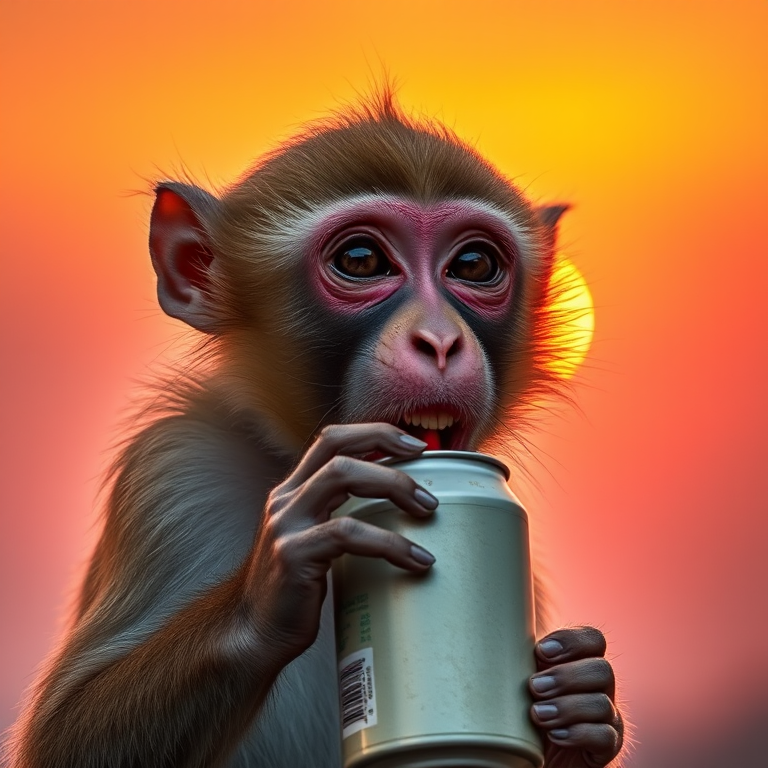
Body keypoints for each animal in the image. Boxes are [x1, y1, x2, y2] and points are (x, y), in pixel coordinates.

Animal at [6, 91, 624, 768]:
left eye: (473, 264)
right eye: (361, 260)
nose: (439, 340)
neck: (287, 452)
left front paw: (581, 702)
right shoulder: (173, 470)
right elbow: (63, 736)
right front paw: (272, 585)